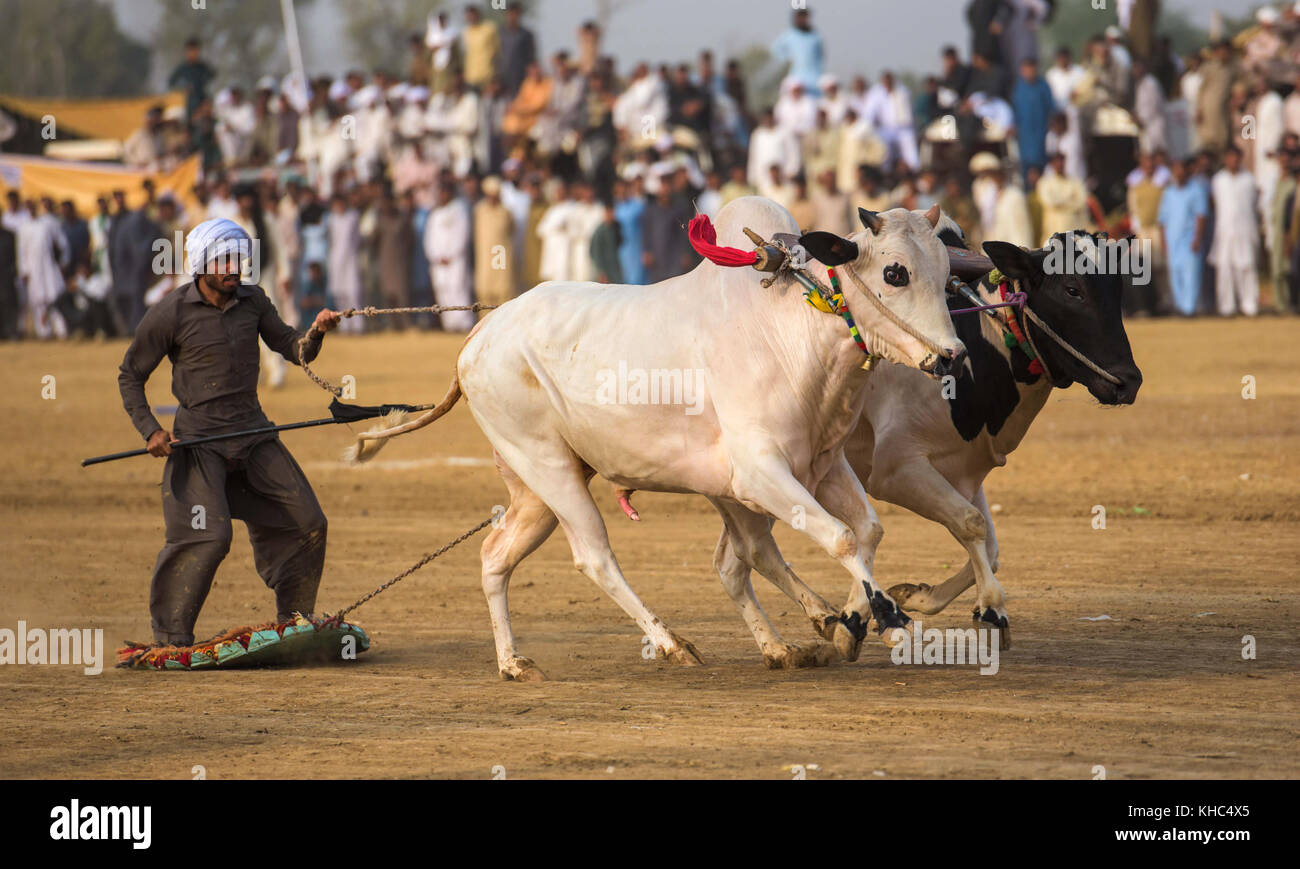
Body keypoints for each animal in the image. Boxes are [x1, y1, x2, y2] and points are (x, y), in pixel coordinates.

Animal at [348, 197, 965, 678]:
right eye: (895, 273)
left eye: (944, 273)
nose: (952, 355)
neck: (795, 328)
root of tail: (479, 332)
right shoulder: (759, 474)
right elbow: (838, 539)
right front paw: (889, 621)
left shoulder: (822, 464)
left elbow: (866, 530)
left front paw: (852, 621)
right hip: (550, 470)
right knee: (596, 558)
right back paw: (672, 644)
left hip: (534, 491)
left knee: (495, 556)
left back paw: (514, 662)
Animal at [711, 227, 1143, 655]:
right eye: (1072, 289)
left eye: (1118, 286)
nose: (1129, 381)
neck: (977, 351)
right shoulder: (898, 471)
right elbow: (970, 525)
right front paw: (986, 609)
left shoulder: (964, 472)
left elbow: (990, 549)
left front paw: (906, 598)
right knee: (748, 554)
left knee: (737, 560)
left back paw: (788, 639)